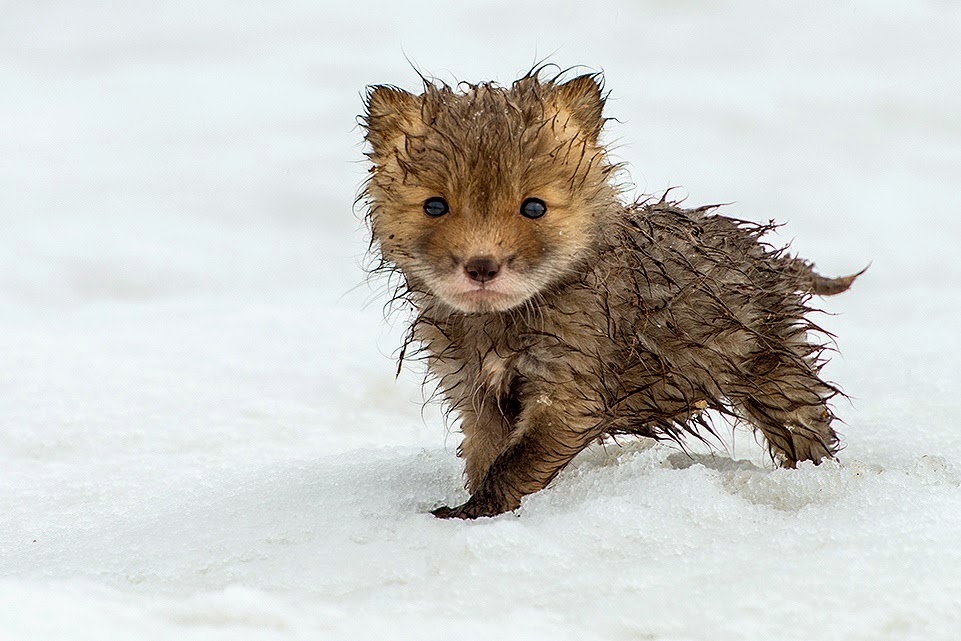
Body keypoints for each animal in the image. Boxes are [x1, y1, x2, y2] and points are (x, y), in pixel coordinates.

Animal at [360, 69, 862, 519]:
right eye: (435, 205)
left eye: (534, 207)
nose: (481, 266)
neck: (500, 327)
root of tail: (767, 256)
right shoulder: (471, 385)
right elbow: (485, 453)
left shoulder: (573, 385)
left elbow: (517, 461)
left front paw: (477, 510)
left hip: (774, 368)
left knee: (807, 424)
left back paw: (816, 481)